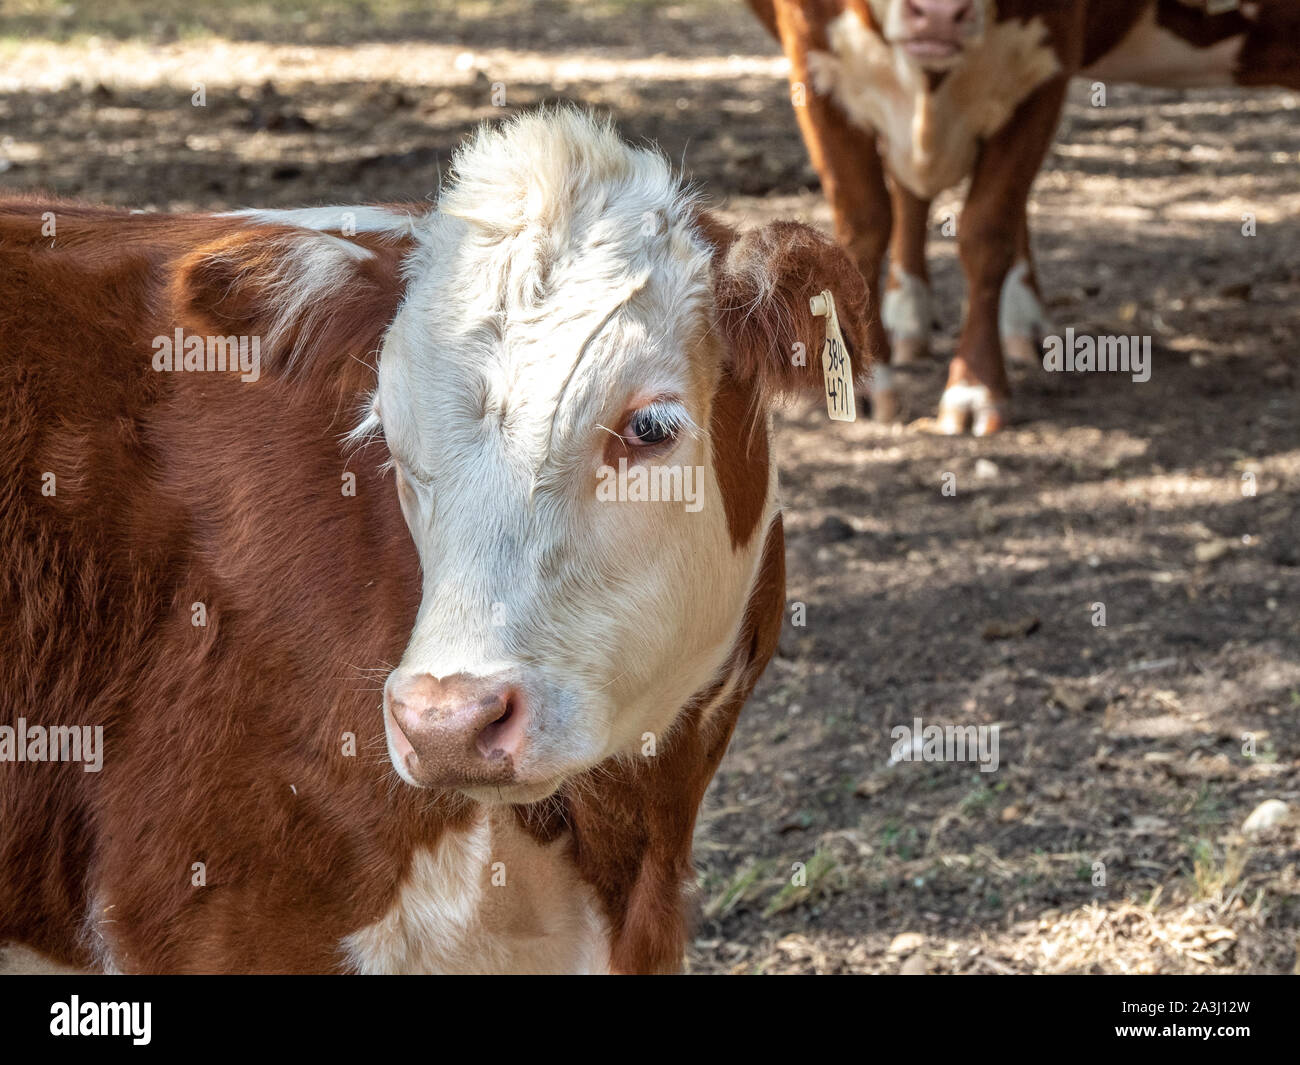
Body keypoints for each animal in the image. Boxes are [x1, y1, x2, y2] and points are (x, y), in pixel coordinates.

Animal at [748, 0, 1300, 433]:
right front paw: (861, 384)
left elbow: (986, 228)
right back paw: (912, 316)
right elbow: (862, 225)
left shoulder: (1046, 68)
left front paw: (975, 388)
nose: (940, 13)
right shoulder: (812, 57)